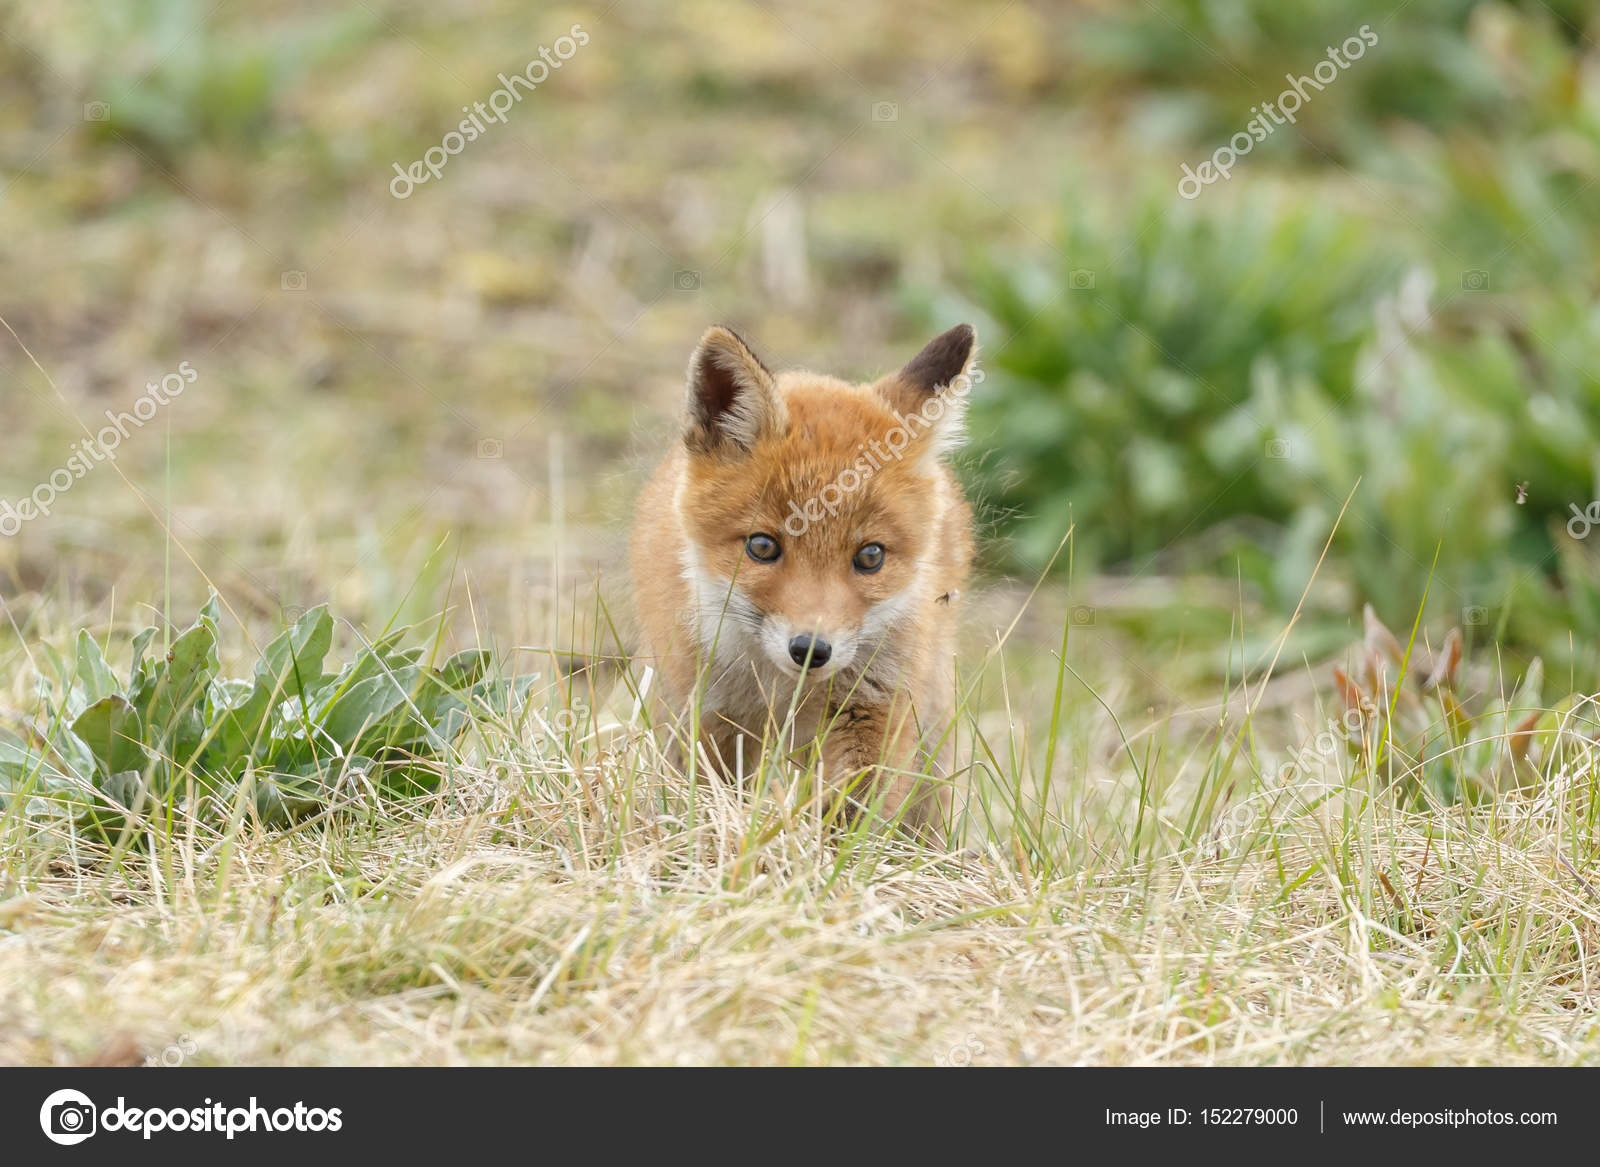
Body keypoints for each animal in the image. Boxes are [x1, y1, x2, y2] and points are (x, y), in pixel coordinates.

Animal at [630, 323, 979, 836]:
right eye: (762, 546)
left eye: (870, 556)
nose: (811, 650)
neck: (782, 689)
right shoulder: (709, 712)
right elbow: (710, 789)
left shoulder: (875, 707)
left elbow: (855, 806)